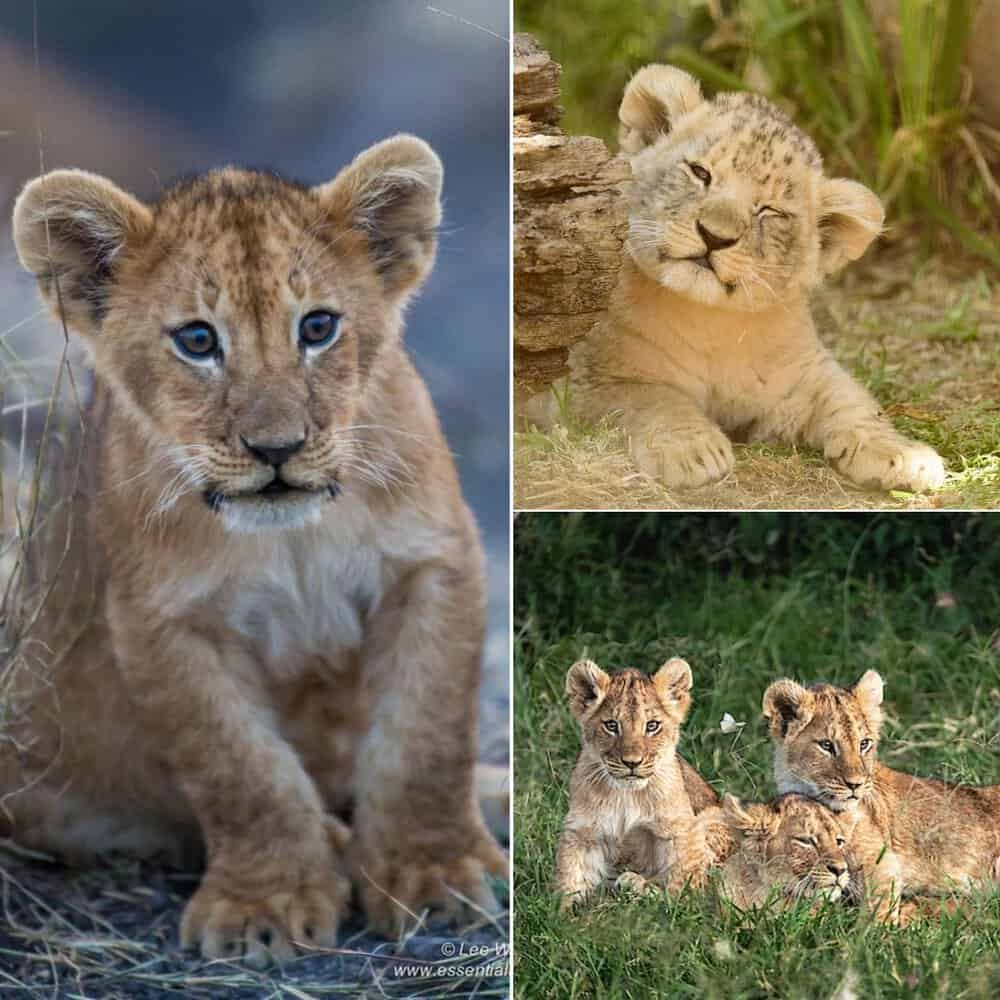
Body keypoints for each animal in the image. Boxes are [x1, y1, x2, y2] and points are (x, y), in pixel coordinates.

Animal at [6, 135, 506, 965]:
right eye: (198, 341)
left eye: (318, 327)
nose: (278, 449)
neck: (295, 538)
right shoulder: (161, 620)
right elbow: (239, 766)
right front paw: (265, 904)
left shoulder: (434, 560)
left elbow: (427, 737)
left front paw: (435, 873)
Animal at [539, 64, 945, 493]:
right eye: (700, 173)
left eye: (770, 211)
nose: (714, 236)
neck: (708, 323)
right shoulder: (582, 379)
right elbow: (651, 396)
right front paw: (691, 450)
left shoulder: (800, 378)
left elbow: (853, 399)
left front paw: (905, 455)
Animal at [553, 658, 719, 907]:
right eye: (611, 725)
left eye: (652, 726)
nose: (632, 762)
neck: (626, 795)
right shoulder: (582, 832)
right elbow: (569, 876)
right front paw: (561, 911)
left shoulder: (681, 830)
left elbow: (684, 881)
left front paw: (676, 903)